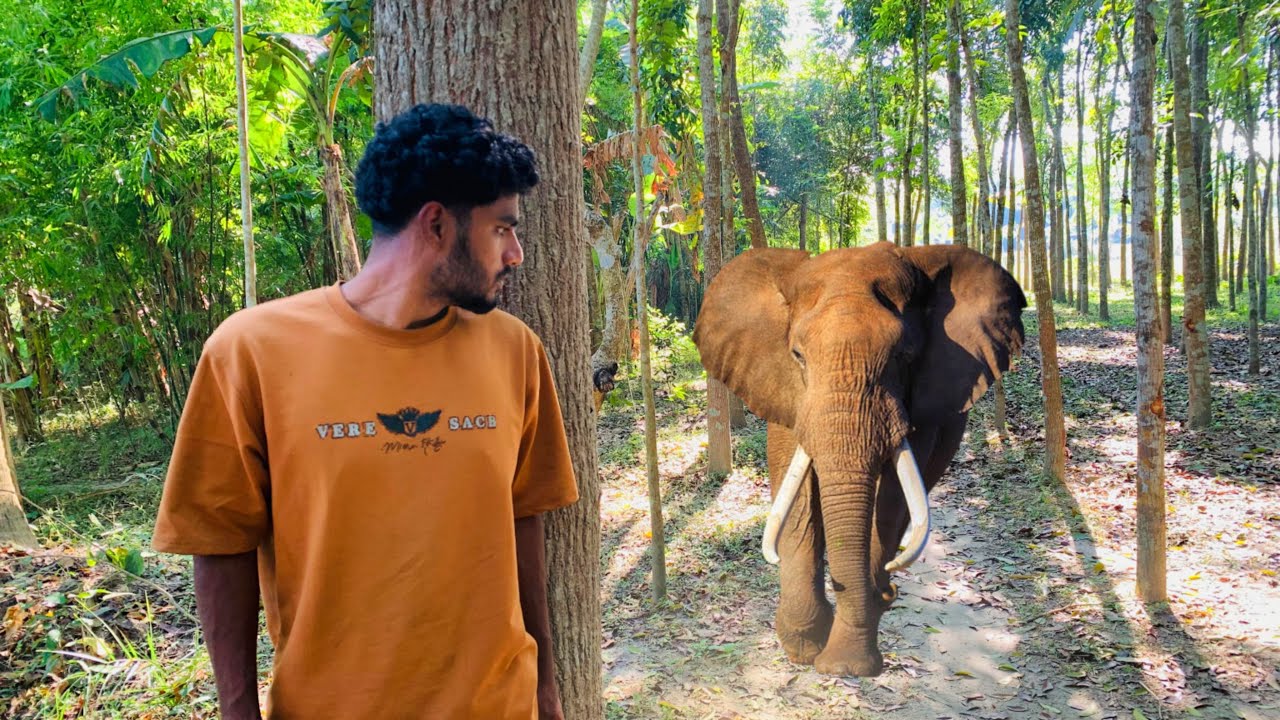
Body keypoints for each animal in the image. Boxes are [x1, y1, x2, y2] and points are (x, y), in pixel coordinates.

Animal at [692, 241, 1025, 677]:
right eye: (797, 355)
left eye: (904, 355)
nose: (840, 669)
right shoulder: (782, 387)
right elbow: (795, 488)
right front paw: (805, 644)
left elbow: (892, 497)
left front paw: (847, 661)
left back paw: (884, 593)